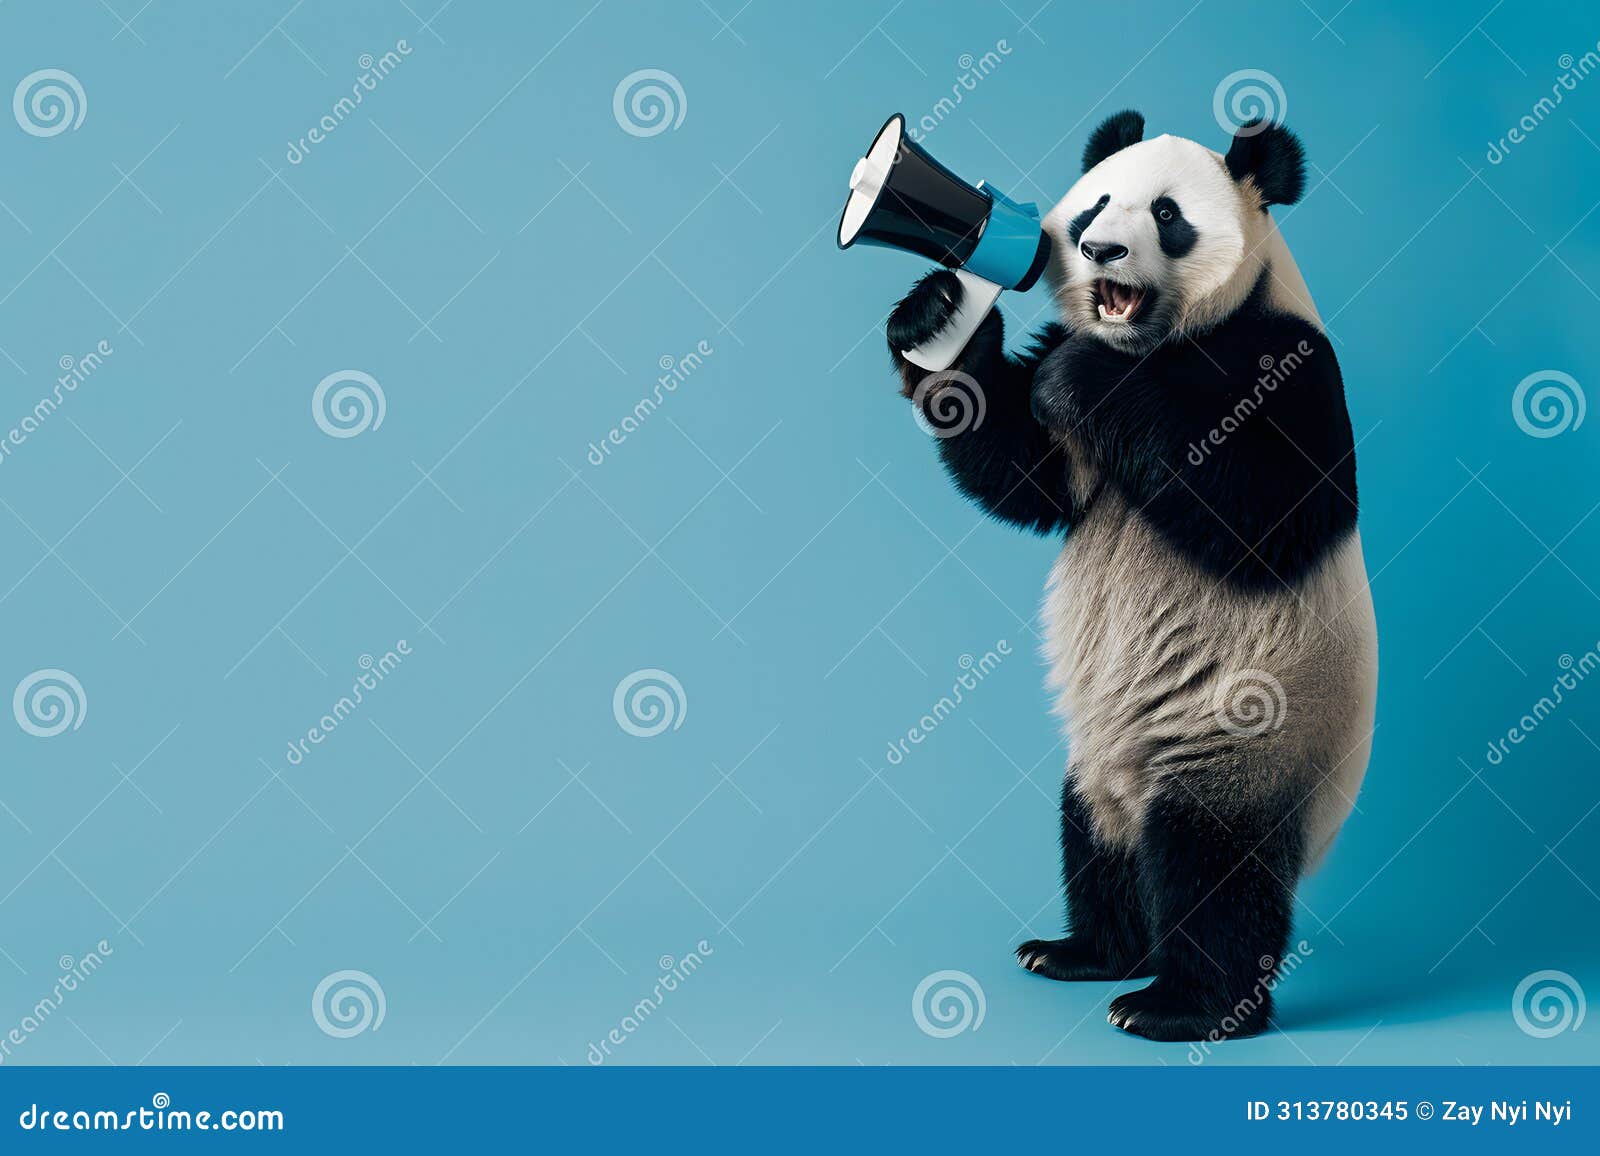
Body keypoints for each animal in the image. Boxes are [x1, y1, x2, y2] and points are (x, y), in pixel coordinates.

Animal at [885, 110, 1377, 1042]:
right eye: (1094, 206)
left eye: (1168, 215)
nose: (1100, 250)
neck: (1158, 342)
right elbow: (1023, 474)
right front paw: (934, 314)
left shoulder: (1286, 360)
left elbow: (1264, 514)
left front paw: (1085, 380)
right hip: (1099, 760)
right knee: (1094, 840)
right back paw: (1086, 952)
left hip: (1245, 737)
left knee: (1212, 867)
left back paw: (1183, 1004)